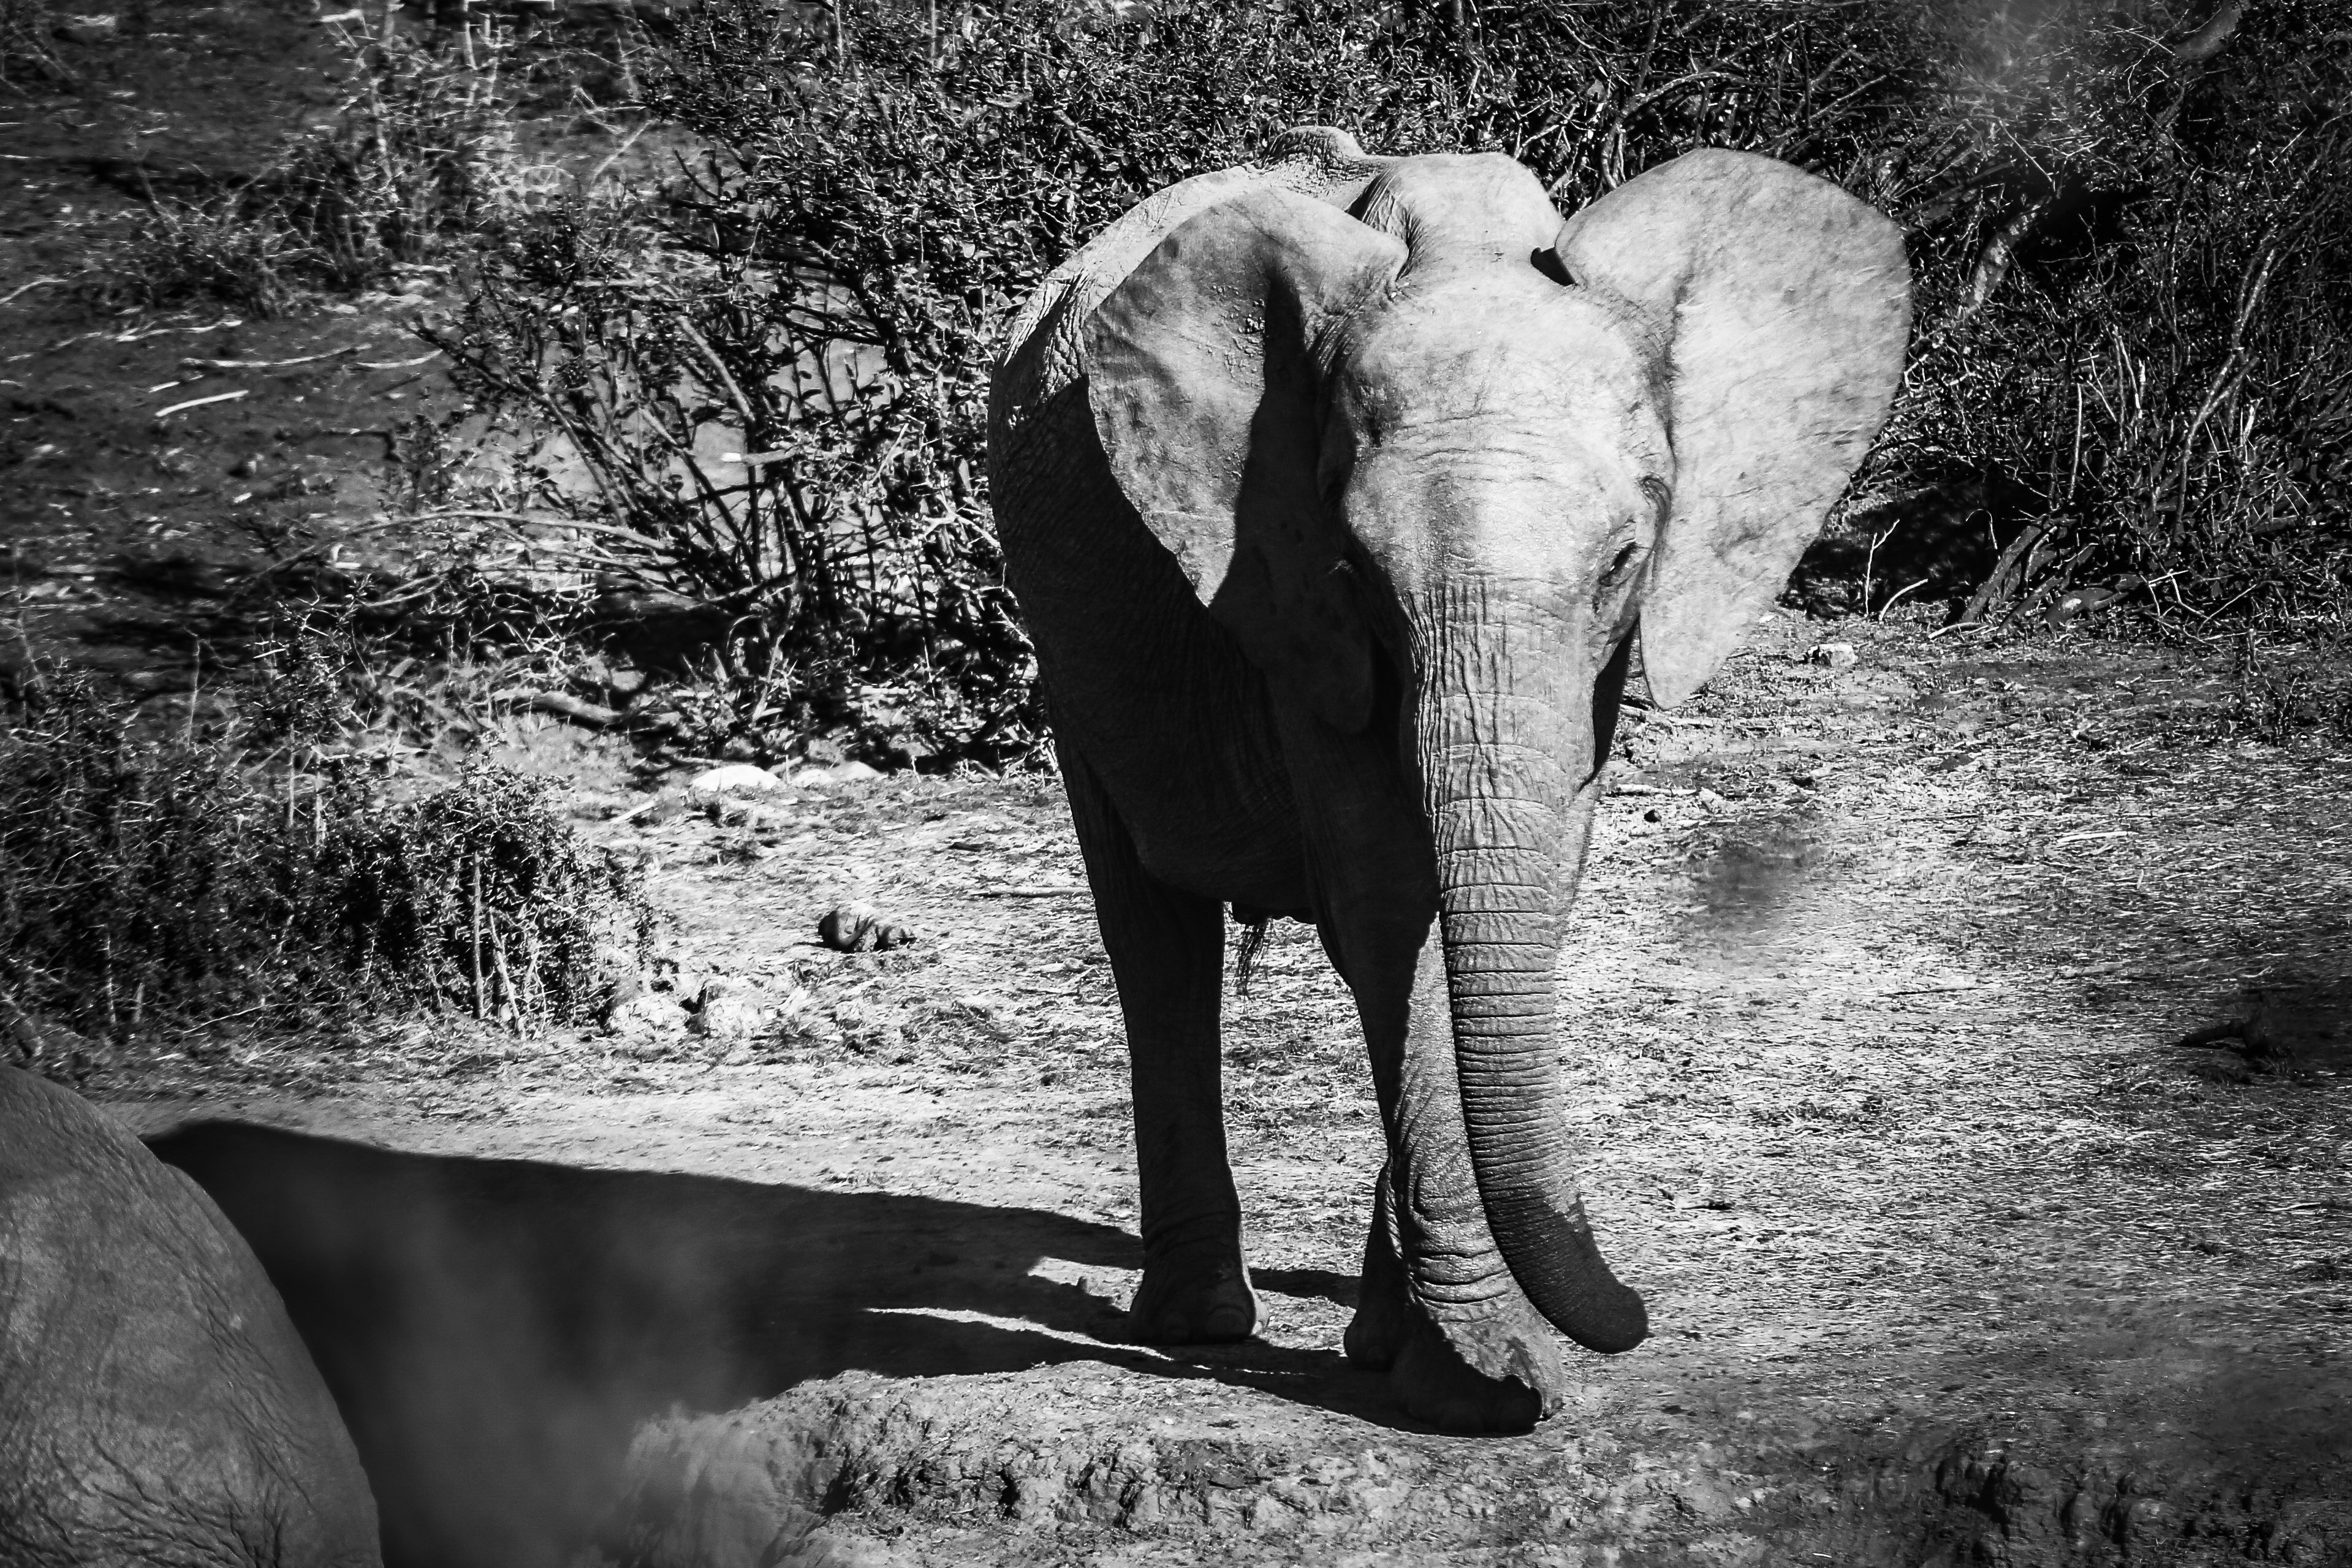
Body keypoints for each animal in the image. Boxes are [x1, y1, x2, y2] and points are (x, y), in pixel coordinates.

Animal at [987, 128, 1910, 1431]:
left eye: (1624, 558)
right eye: (1358, 571)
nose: (1635, 1310)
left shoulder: (1588, 660)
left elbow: (1522, 875)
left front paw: (1406, 1347)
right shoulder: (1283, 591)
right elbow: (1389, 906)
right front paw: (1483, 1382)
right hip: (1068, 645)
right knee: (1151, 932)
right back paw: (1196, 1322)